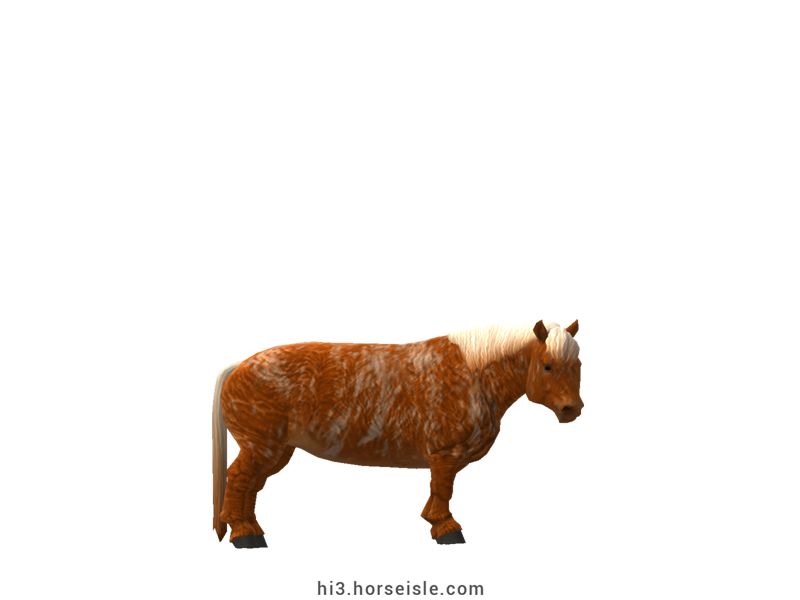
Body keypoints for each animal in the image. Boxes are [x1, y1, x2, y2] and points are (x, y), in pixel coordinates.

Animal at [213, 318, 584, 542]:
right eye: (547, 366)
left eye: (578, 364)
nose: (571, 409)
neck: (474, 375)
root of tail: (238, 366)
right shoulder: (445, 450)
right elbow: (443, 488)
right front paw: (445, 526)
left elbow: (439, 488)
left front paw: (433, 520)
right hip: (258, 445)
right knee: (238, 479)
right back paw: (239, 530)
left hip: (266, 448)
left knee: (251, 485)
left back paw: (252, 527)